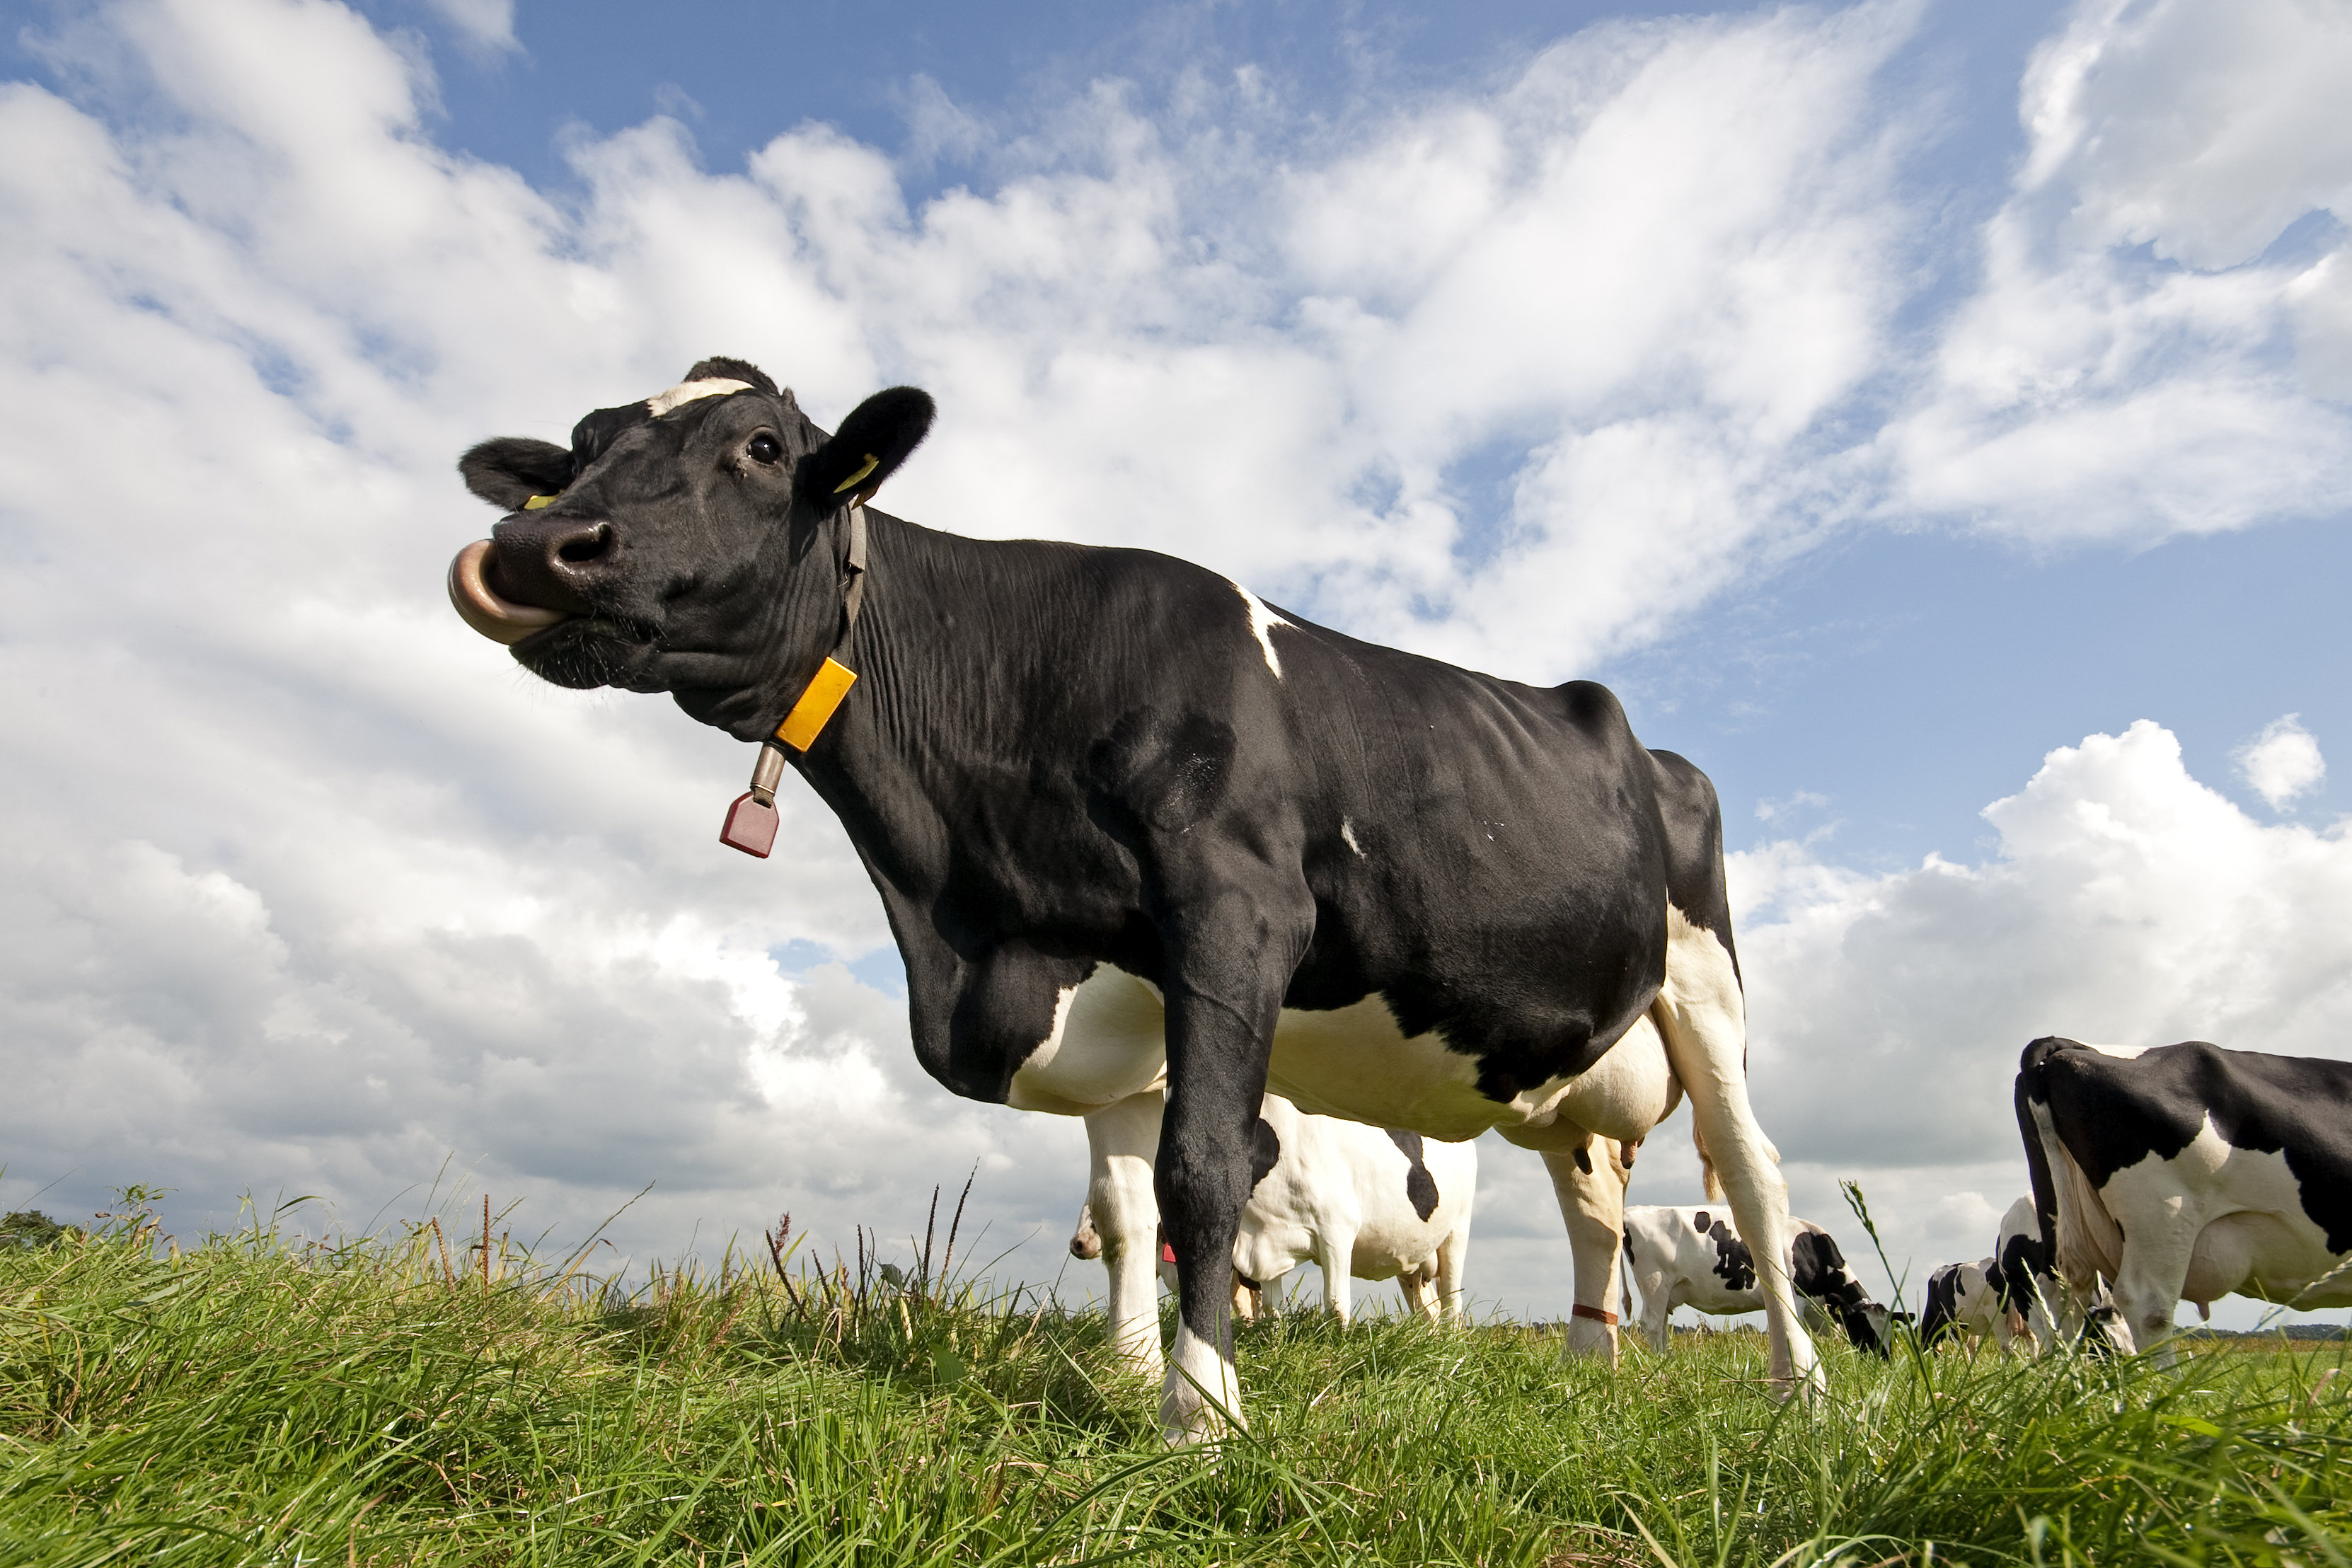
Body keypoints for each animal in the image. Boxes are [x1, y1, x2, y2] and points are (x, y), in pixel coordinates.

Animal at [1071, 1092, 1474, 1325]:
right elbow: (1270, 1310)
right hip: (1415, 1262)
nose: (1078, 1243)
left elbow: (1335, 1306)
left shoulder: (1337, 1228)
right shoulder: (1261, 1244)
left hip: (1457, 1232)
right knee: (1427, 1309)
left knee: (1453, 1302)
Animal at [1620, 1205, 1894, 1356]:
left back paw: (1667, 1357)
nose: (1883, 1361)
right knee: (1652, 1323)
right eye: (1866, 1329)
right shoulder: (1795, 1299)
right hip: (1655, 1281)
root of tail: (1632, 1211)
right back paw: (1659, 1361)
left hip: (1664, 1290)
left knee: (1661, 1325)